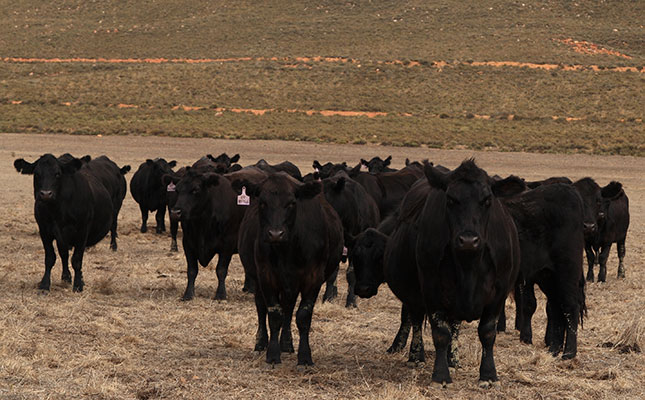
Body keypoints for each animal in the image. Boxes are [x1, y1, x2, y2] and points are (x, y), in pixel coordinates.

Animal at [14, 153, 129, 292]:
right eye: (36, 174)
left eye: (57, 174)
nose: (46, 194)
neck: (58, 209)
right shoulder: (45, 231)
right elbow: (51, 257)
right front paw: (45, 284)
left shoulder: (82, 232)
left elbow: (77, 260)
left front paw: (78, 285)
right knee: (64, 255)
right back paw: (67, 277)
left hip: (116, 209)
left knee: (113, 227)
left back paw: (113, 246)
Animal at [235, 173, 343, 367]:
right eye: (262, 202)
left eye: (292, 203)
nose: (275, 234)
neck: (287, 249)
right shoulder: (266, 275)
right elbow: (274, 314)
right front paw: (272, 354)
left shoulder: (313, 277)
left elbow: (302, 316)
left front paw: (305, 356)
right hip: (258, 278)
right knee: (261, 307)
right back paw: (261, 342)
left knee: (288, 309)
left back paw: (286, 343)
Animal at [416, 160, 521, 386]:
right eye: (450, 199)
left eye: (487, 200)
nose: (468, 240)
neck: (468, 266)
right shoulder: (431, 288)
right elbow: (441, 333)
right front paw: (440, 375)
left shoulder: (499, 293)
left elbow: (487, 332)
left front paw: (489, 374)